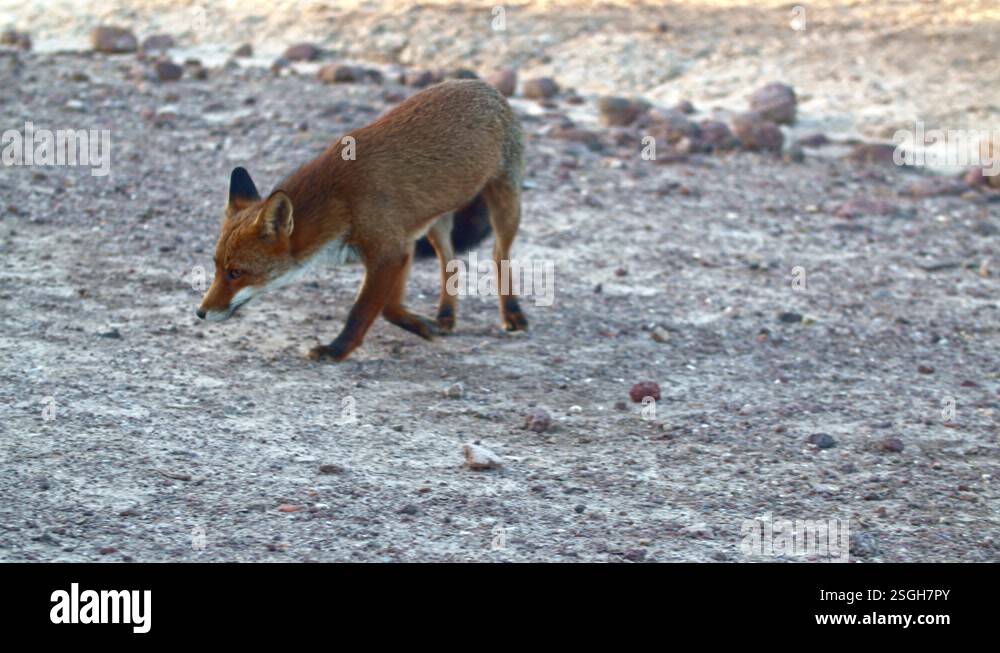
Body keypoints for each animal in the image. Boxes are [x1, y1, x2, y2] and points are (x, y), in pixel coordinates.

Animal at [196, 79, 527, 361]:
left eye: (236, 273)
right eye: (216, 267)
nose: (200, 312)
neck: (341, 200)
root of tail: (482, 85)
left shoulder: (390, 251)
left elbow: (362, 311)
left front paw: (336, 350)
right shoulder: (401, 245)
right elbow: (389, 308)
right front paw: (420, 325)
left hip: (505, 202)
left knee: (499, 255)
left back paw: (512, 313)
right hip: (436, 221)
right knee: (451, 260)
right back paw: (445, 315)